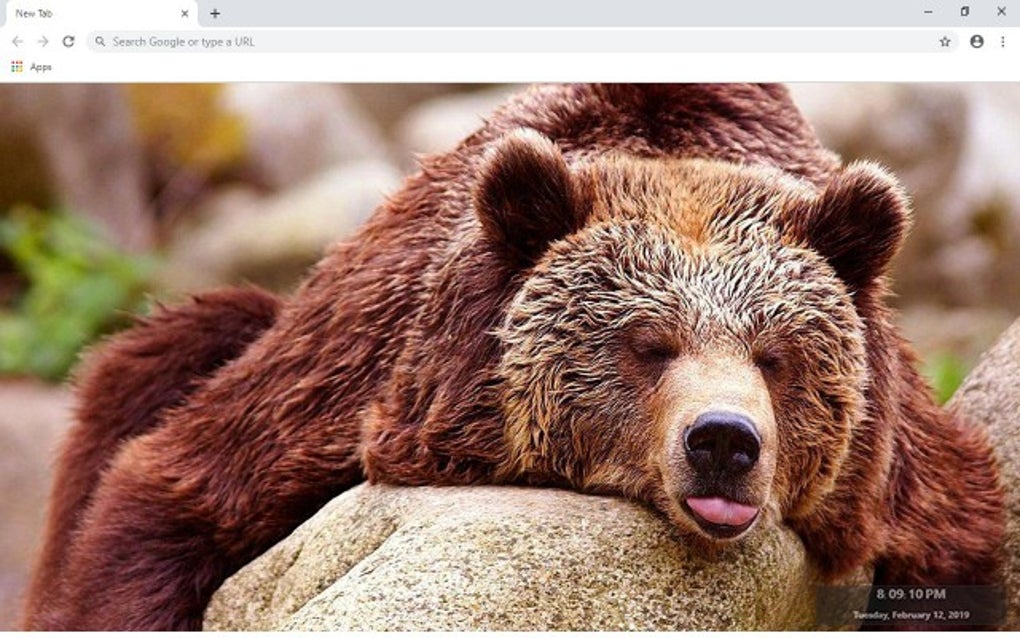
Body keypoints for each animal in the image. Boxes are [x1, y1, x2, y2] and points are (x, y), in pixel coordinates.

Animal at [22, 84, 1004, 631]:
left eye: (774, 355)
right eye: (648, 344)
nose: (724, 440)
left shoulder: (891, 468)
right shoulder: (362, 378)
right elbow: (174, 487)